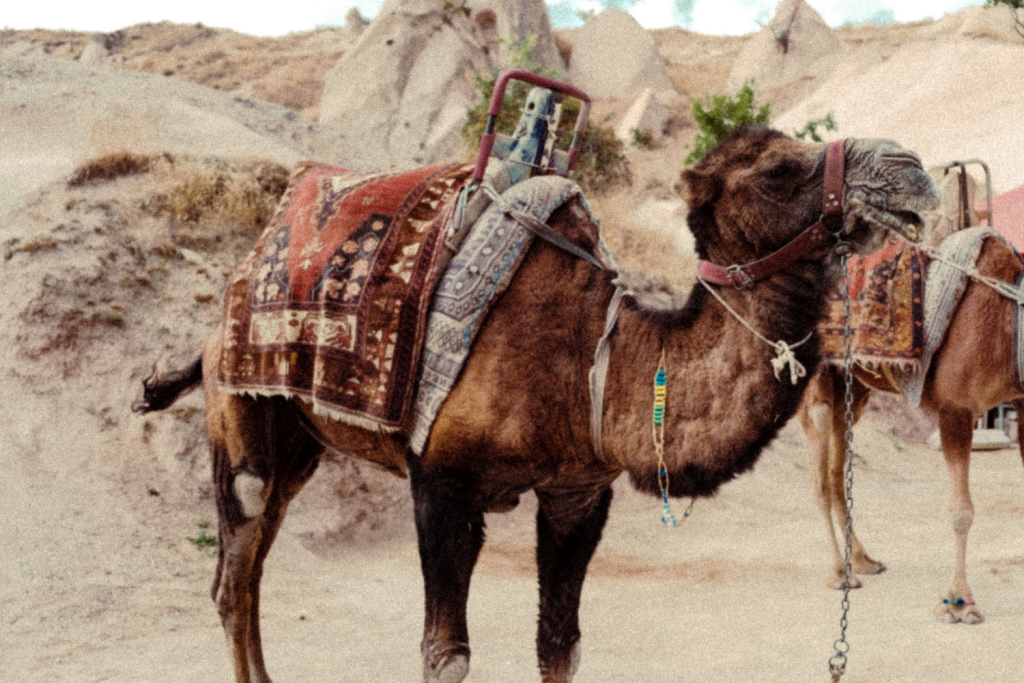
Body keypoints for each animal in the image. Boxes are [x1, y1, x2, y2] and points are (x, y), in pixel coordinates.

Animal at [134, 127, 937, 683]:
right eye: (778, 169)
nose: (912, 168)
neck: (594, 358)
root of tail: (217, 321)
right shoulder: (441, 479)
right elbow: (446, 655)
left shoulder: (577, 491)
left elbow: (561, 646)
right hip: (243, 424)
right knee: (233, 578)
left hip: (299, 446)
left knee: (249, 572)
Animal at [797, 164, 1024, 624]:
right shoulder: (956, 410)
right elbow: (961, 511)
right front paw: (958, 603)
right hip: (816, 388)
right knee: (819, 475)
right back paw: (839, 573)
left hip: (854, 391)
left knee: (836, 472)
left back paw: (863, 560)